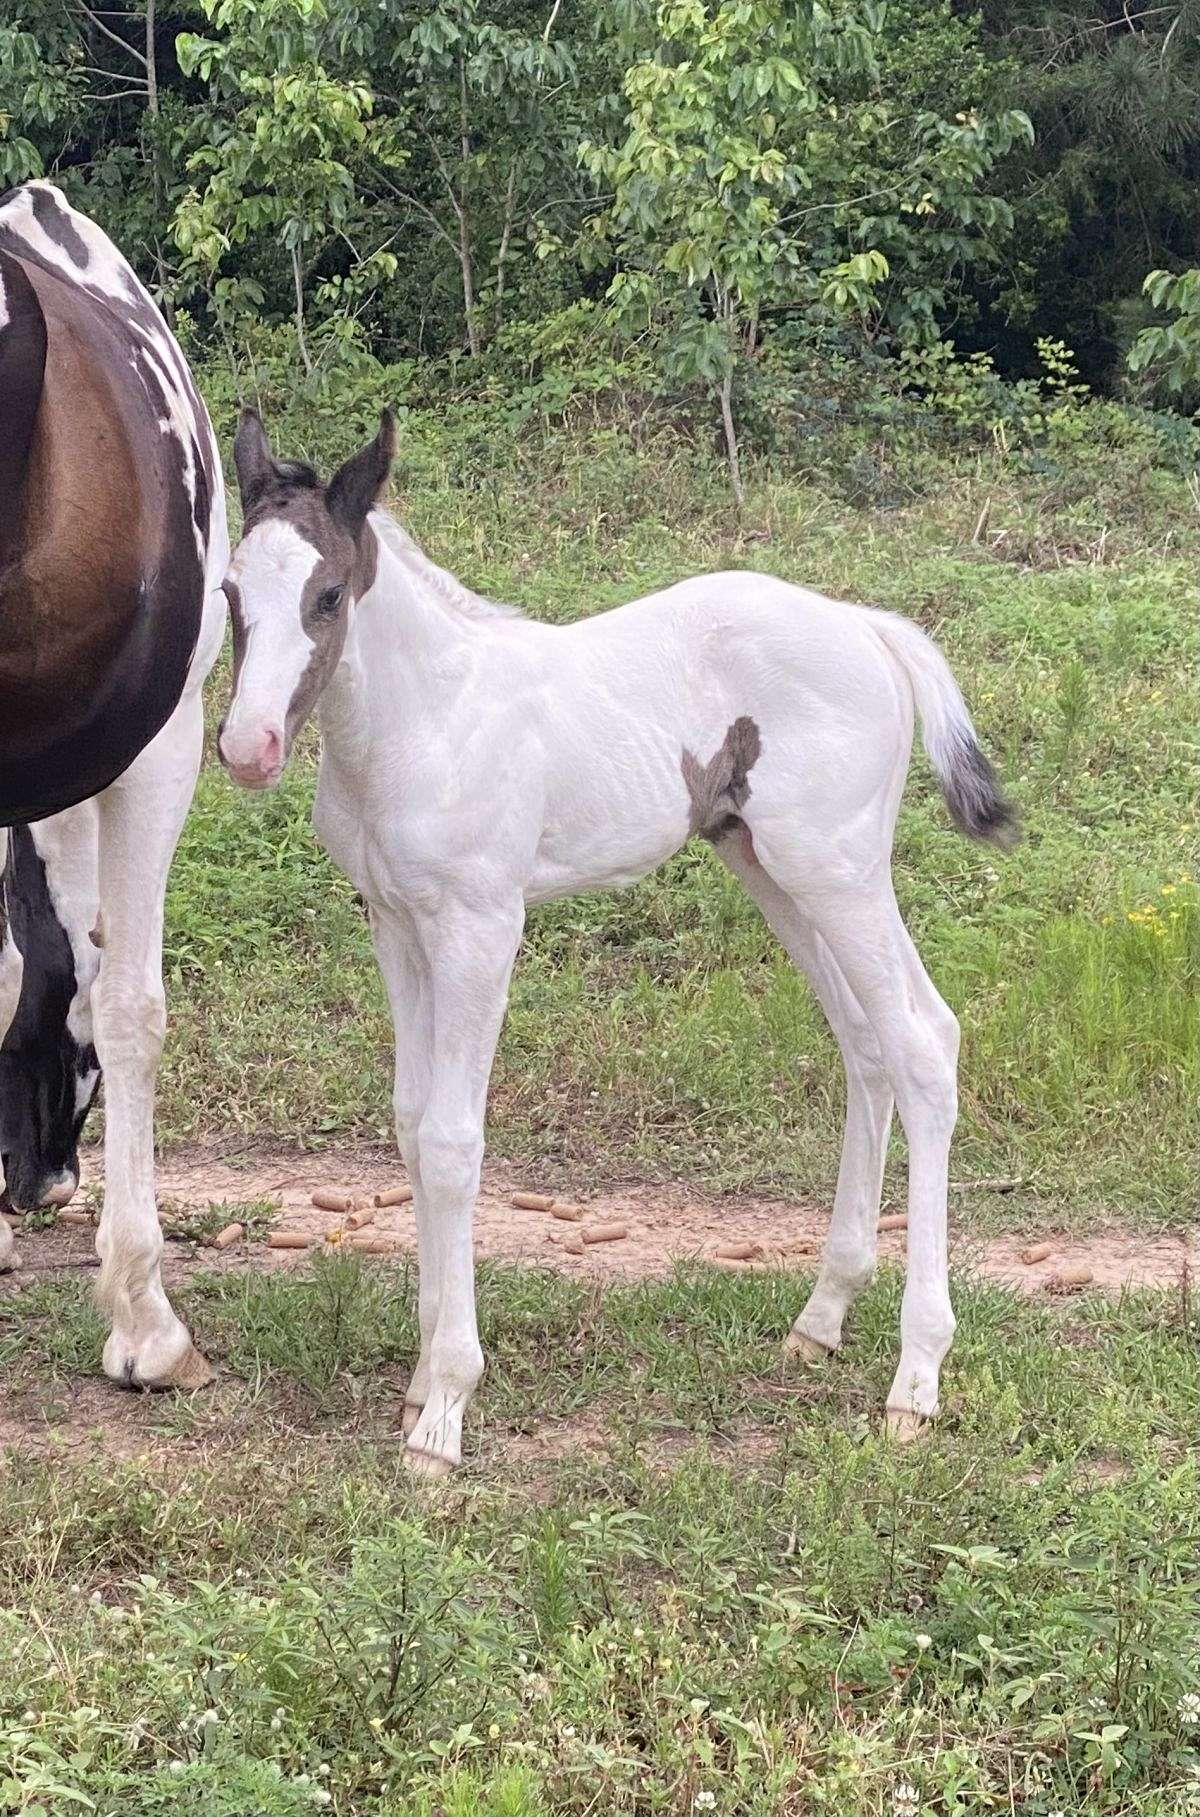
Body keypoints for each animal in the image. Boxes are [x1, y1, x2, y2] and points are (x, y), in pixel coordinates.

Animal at [219, 409, 1017, 1474]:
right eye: (230, 592)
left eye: (329, 594)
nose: (247, 747)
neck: (426, 722)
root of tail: (866, 628)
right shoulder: (395, 923)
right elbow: (410, 1121)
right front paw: (421, 1378)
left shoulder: (481, 925)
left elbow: (452, 1139)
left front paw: (446, 1412)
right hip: (772, 866)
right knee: (867, 1043)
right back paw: (822, 1315)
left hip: (838, 871)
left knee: (926, 1041)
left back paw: (916, 1377)